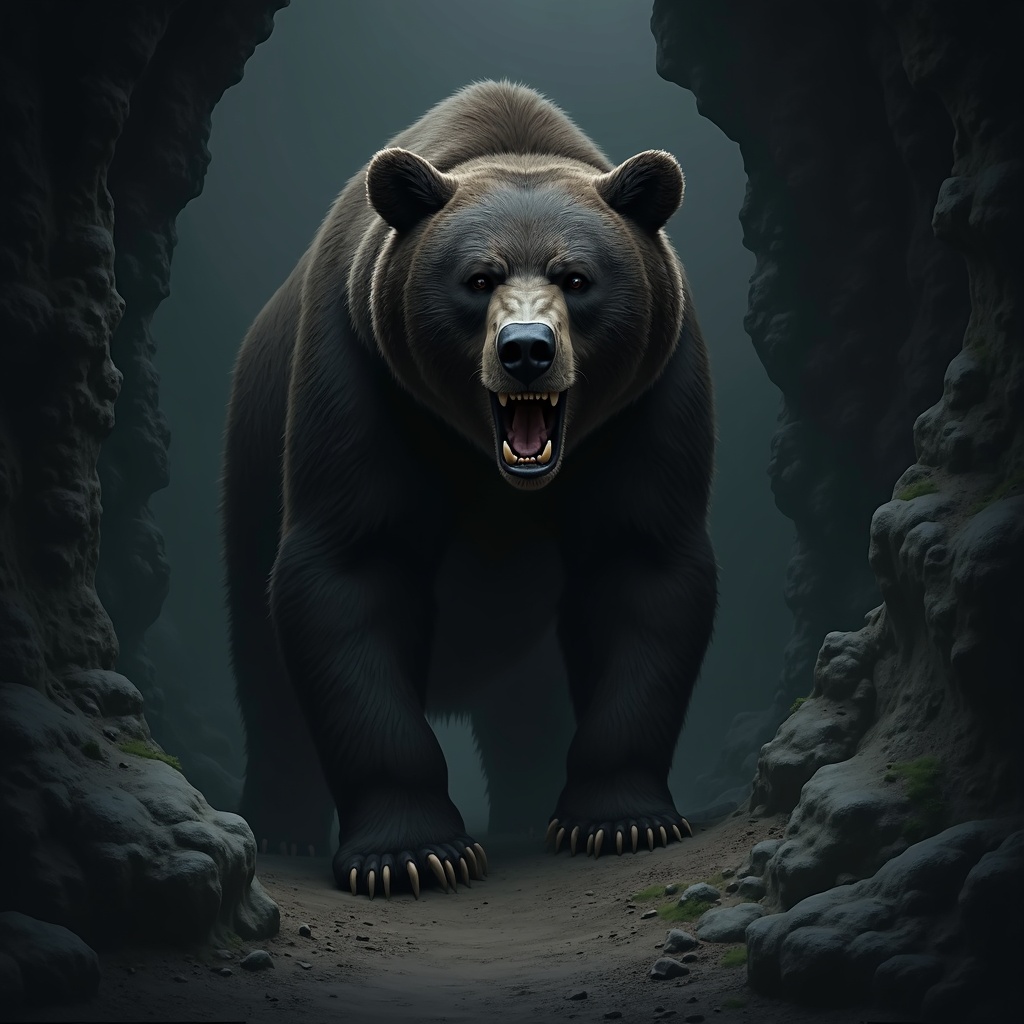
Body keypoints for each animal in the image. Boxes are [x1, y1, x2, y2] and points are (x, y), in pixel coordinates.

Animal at [221, 80, 717, 898]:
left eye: (575, 277)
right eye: (479, 279)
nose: (526, 350)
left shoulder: (650, 401)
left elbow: (643, 570)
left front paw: (620, 820)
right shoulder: (362, 377)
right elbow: (350, 572)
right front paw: (415, 854)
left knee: (527, 698)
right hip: (253, 461)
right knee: (261, 663)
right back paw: (281, 827)